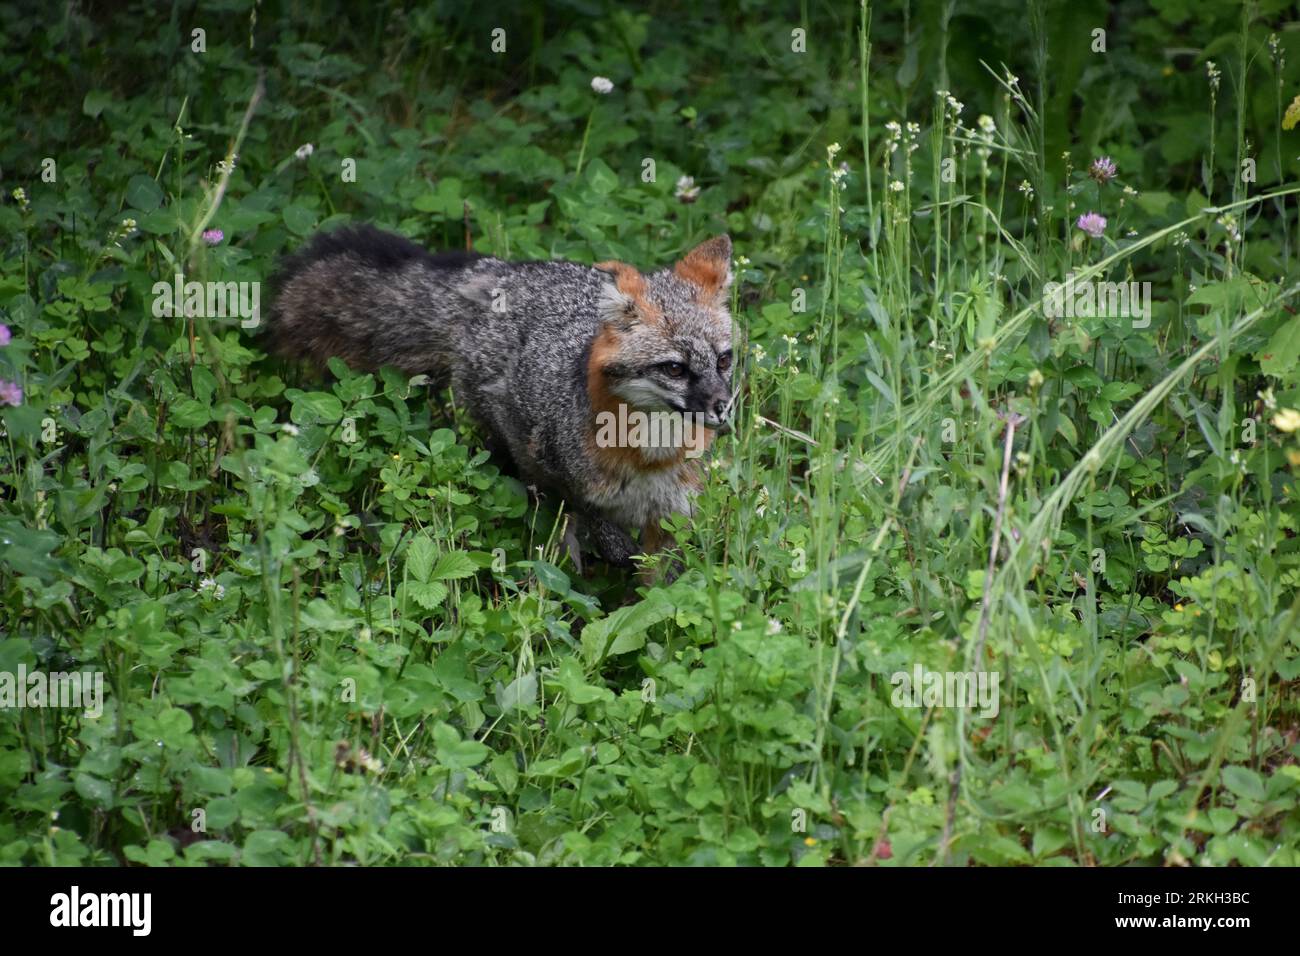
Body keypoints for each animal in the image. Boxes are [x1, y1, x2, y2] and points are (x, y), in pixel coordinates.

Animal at [268, 225, 738, 577]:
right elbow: (587, 514)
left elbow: (658, 594)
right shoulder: (553, 469)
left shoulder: (672, 516)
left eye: (724, 360)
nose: (722, 407)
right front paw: (613, 548)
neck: (650, 456)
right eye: (674, 369)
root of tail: (501, 270)